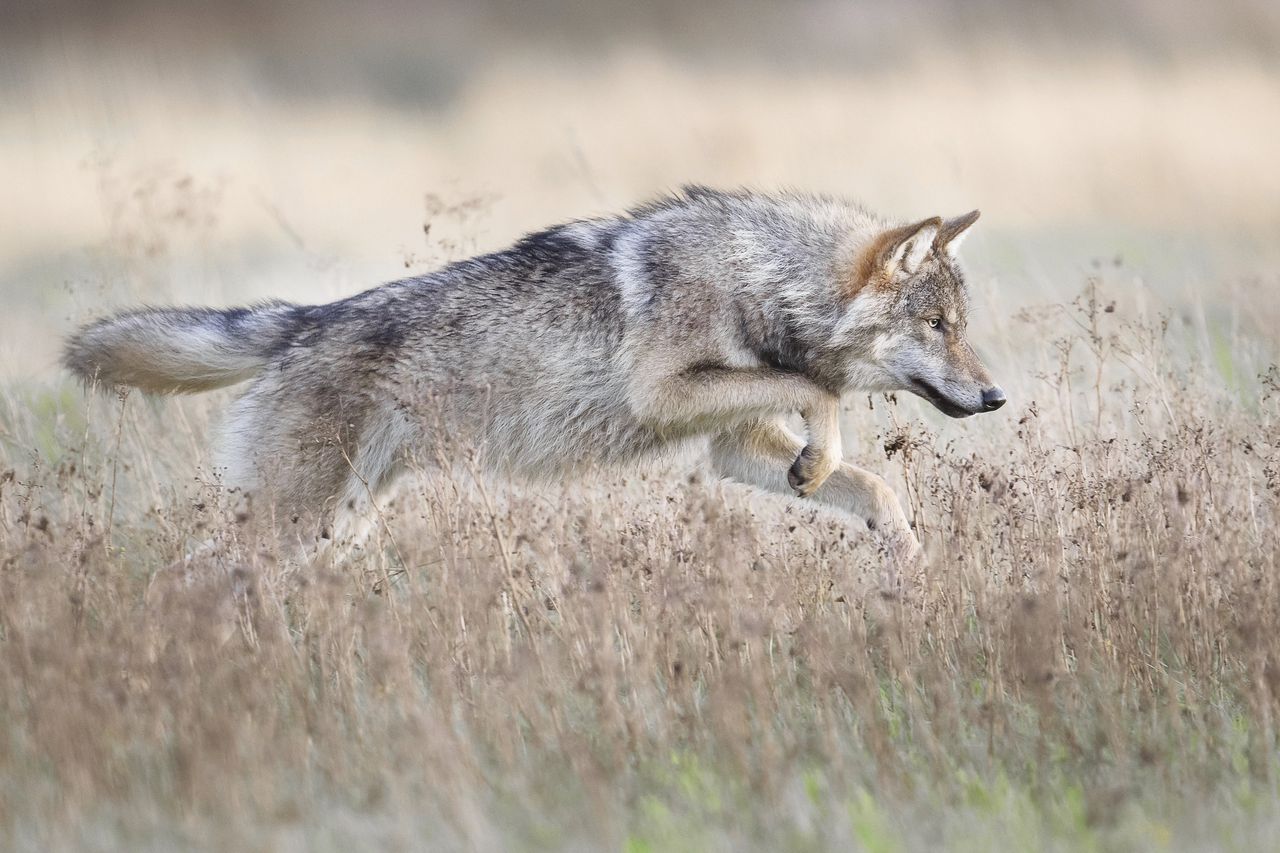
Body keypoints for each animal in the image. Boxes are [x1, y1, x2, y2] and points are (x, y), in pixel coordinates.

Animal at [64, 187, 1006, 559]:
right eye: (937, 327)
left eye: (962, 329)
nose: (996, 396)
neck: (762, 277)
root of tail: (301, 320)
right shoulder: (663, 392)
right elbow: (816, 389)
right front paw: (823, 450)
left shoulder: (730, 447)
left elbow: (874, 485)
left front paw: (906, 557)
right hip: (293, 524)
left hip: (337, 526)